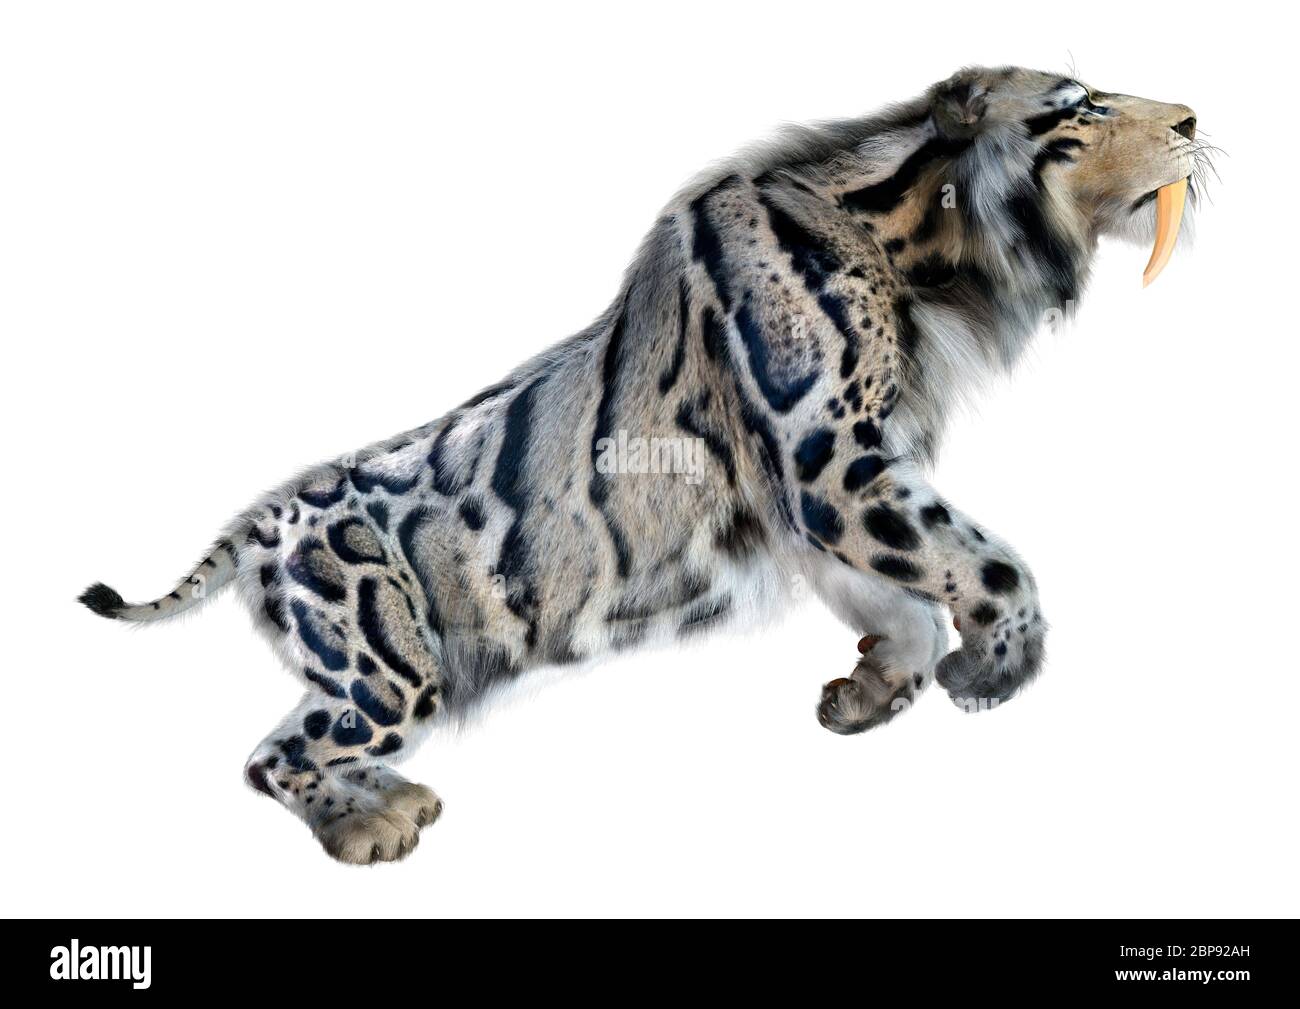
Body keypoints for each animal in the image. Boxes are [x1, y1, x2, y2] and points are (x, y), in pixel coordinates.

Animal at [80, 65, 1207, 863]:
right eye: (1082, 106)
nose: (1196, 121)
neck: (923, 246)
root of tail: (259, 521)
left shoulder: (814, 492)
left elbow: (897, 595)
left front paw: (878, 686)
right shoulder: (831, 464)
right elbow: (987, 562)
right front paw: (993, 665)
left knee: (289, 745)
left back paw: (390, 796)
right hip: (390, 671)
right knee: (270, 755)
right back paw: (368, 825)